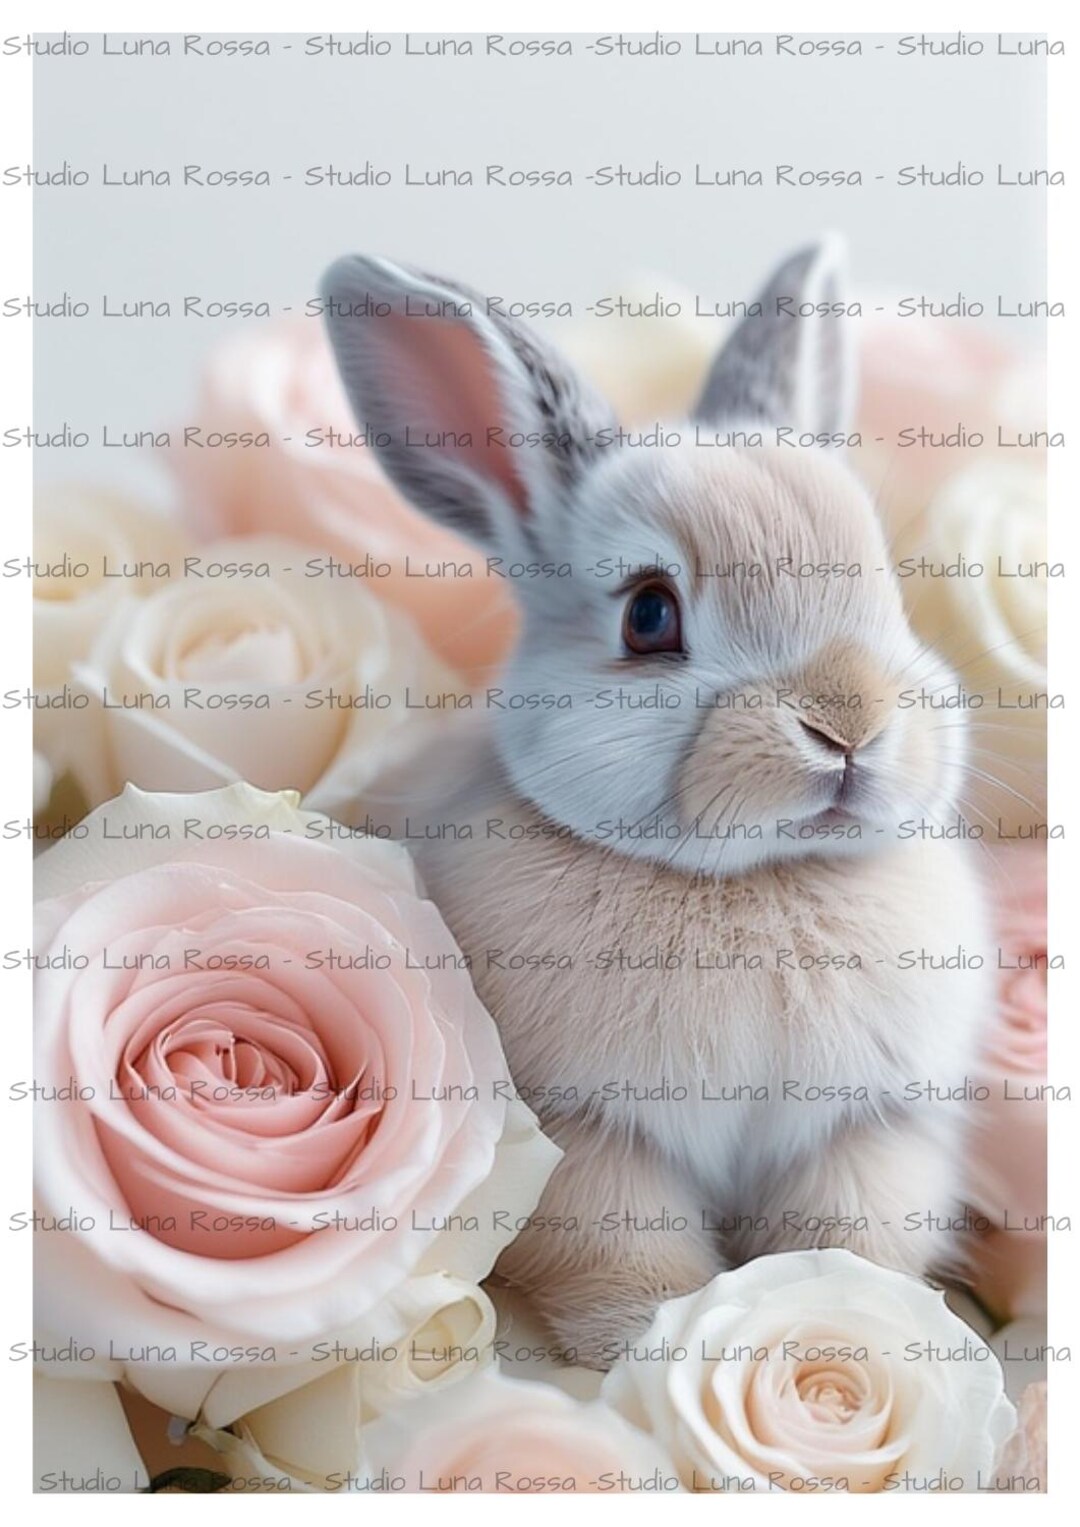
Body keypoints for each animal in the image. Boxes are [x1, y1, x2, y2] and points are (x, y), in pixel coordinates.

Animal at [320, 241, 993, 1368]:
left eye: (888, 589)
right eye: (648, 615)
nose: (847, 723)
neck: (756, 883)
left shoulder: (868, 1128)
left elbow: (847, 1239)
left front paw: (858, 1328)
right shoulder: (588, 1138)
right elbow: (624, 1255)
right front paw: (646, 1350)